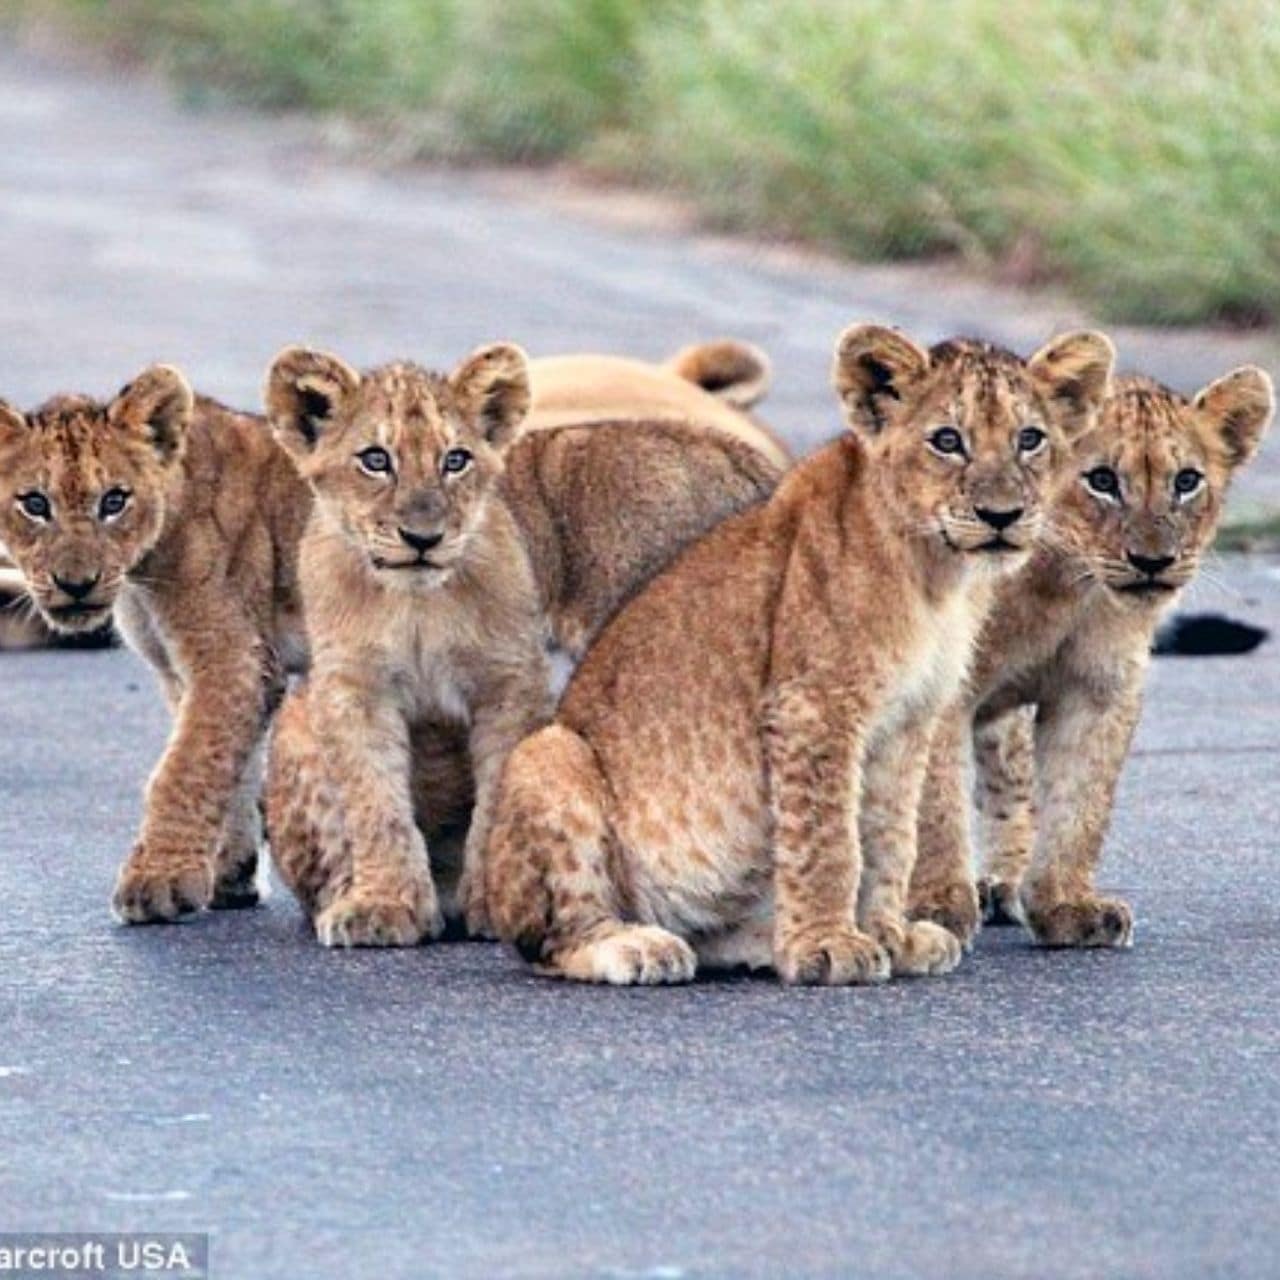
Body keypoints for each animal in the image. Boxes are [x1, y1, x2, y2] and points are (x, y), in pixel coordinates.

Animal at [0, 372, 312, 920]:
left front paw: (157, 884)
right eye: (35, 503)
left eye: (114, 500)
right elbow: (232, 766)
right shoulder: (195, 672)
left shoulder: (231, 660)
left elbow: (184, 769)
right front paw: (231, 875)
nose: (76, 585)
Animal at [262, 343, 786, 946]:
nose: (422, 538)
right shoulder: (356, 688)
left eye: (455, 461)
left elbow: (496, 792)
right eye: (375, 459)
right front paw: (384, 905)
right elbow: (375, 799)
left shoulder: (509, 678)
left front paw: (493, 903)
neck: (415, 603)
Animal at [483, 325, 1115, 985]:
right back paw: (637, 945)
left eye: (1029, 439)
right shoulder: (813, 707)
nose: (1003, 515)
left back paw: (762, 942)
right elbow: (829, 839)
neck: (936, 576)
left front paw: (888, 937)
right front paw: (830, 946)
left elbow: (890, 838)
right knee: (552, 939)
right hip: (547, 754)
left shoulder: (907, 722)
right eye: (947, 440)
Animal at [909, 367, 1274, 949]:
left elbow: (1081, 801)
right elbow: (933, 805)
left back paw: (1002, 886)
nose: (1153, 562)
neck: (1063, 589)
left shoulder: (1099, 690)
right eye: (1101, 479)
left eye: (1186, 481)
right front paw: (937, 909)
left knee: (1008, 781)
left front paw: (1065, 906)